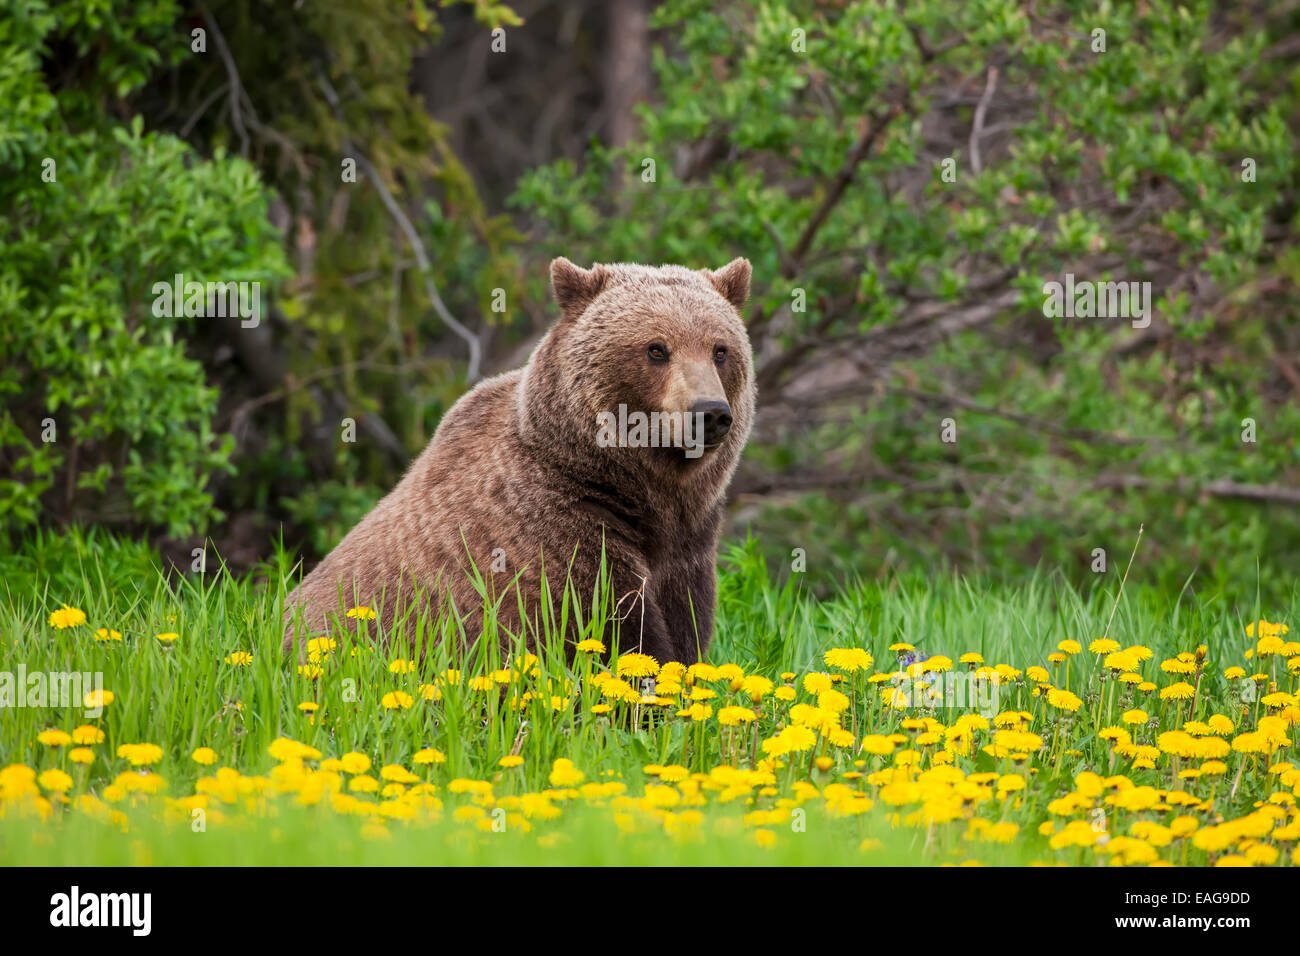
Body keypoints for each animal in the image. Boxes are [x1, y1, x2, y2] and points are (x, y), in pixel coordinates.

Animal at [282, 256, 755, 666]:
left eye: (720, 350)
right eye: (656, 349)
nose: (709, 413)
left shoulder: (688, 547)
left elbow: (684, 633)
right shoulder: (555, 529)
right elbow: (616, 633)